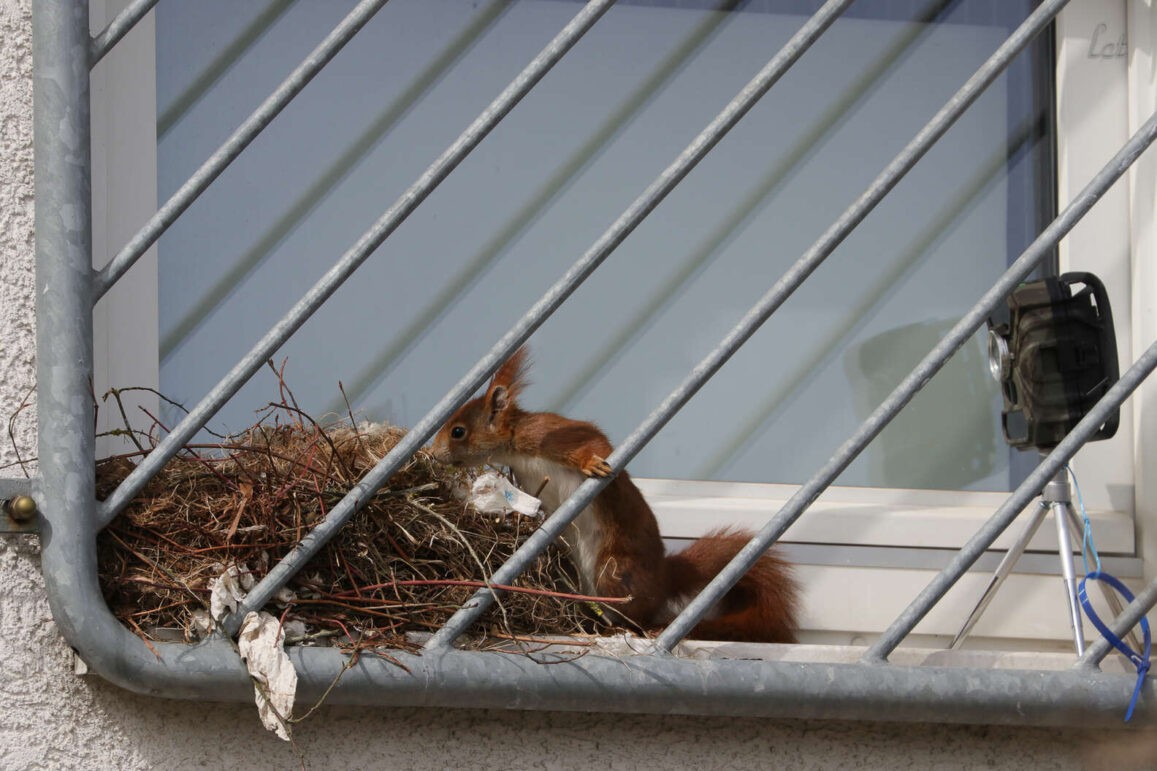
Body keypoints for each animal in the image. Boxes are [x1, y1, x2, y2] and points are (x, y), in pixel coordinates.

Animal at [430, 347, 798, 643]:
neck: (516, 449)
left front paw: (592, 463)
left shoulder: (549, 435)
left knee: (636, 614)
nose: (433, 454)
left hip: (614, 570)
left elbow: (595, 445)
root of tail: (664, 577)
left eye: (458, 431)